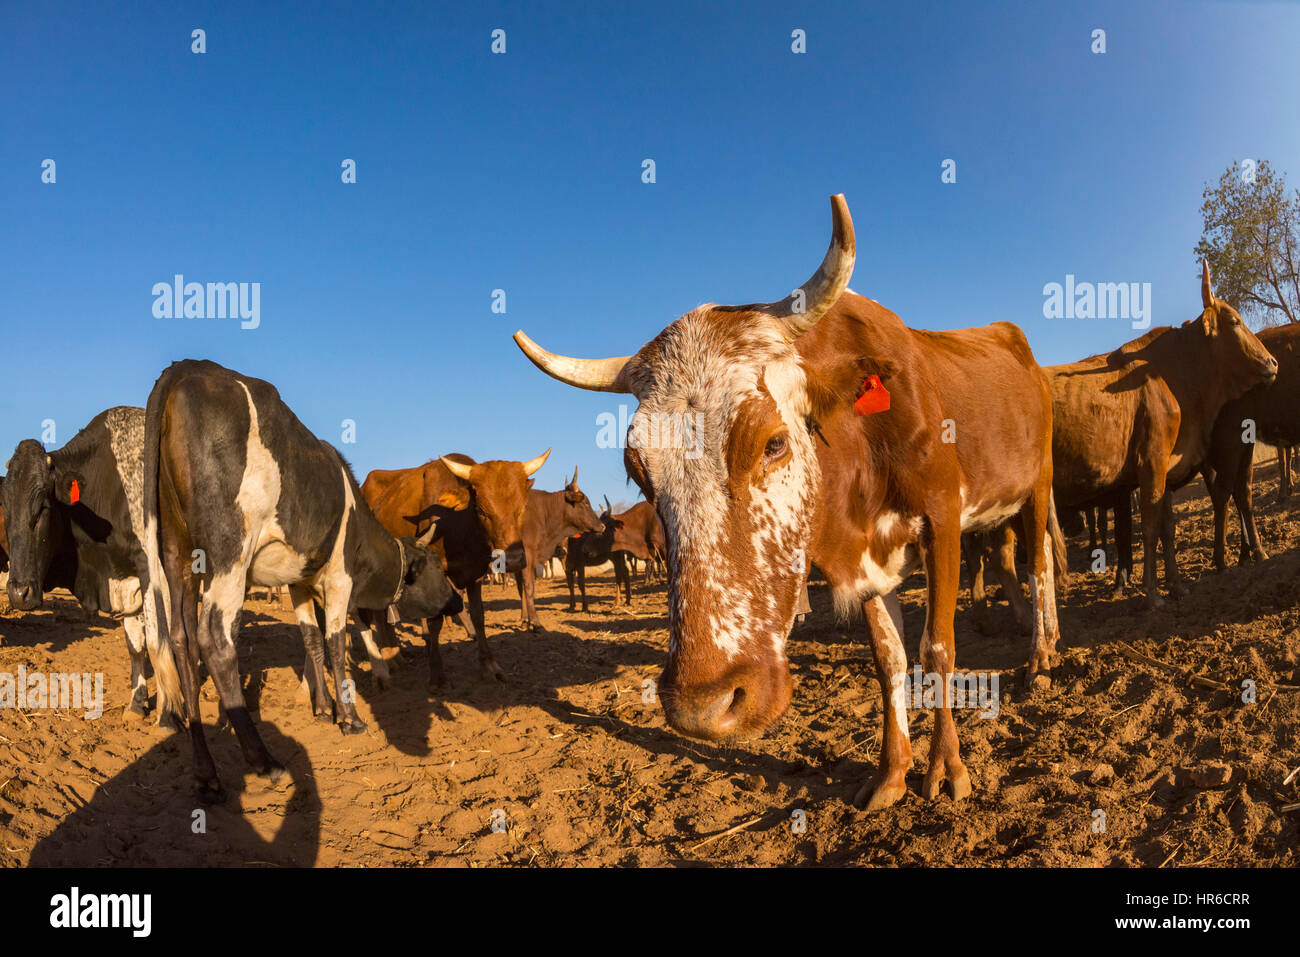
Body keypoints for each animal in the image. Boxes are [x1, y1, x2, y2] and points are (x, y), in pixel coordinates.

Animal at [1, 408, 183, 725]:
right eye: (5, 509)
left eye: (43, 509)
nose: (18, 593)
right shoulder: (126, 578)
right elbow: (135, 644)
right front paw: (137, 703)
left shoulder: (152, 569)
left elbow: (158, 641)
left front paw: (167, 715)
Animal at [142, 360, 462, 803]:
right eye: (436, 567)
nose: (457, 601)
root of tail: (187, 366)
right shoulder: (340, 579)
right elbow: (335, 643)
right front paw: (349, 718)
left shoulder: (297, 583)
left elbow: (311, 640)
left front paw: (324, 709)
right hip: (229, 553)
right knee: (215, 640)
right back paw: (263, 759)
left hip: (176, 555)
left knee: (181, 642)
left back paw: (206, 773)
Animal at [361, 447, 550, 689]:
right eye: (481, 510)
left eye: (522, 507)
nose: (514, 560)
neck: (459, 528)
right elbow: (435, 622)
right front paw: (437, 674)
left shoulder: (475, 573)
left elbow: (478, 617)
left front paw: (489, 666)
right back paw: (388, 661)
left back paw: (396, 656)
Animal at [513, 469, 603, 629]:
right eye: (586, 503)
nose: (602, 526)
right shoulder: (527, 557)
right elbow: (528, 587)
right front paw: (533, 621)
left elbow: (522, 589)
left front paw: (525, 620)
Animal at [1050, 262, 1277, 606]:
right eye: (1235, 321)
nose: (1272, 362)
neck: (1174, 375)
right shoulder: (1151, 465)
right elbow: (1149, 527)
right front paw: (1152, 592)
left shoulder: (1168, 468)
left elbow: (1167, 527)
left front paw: (1176, 585)